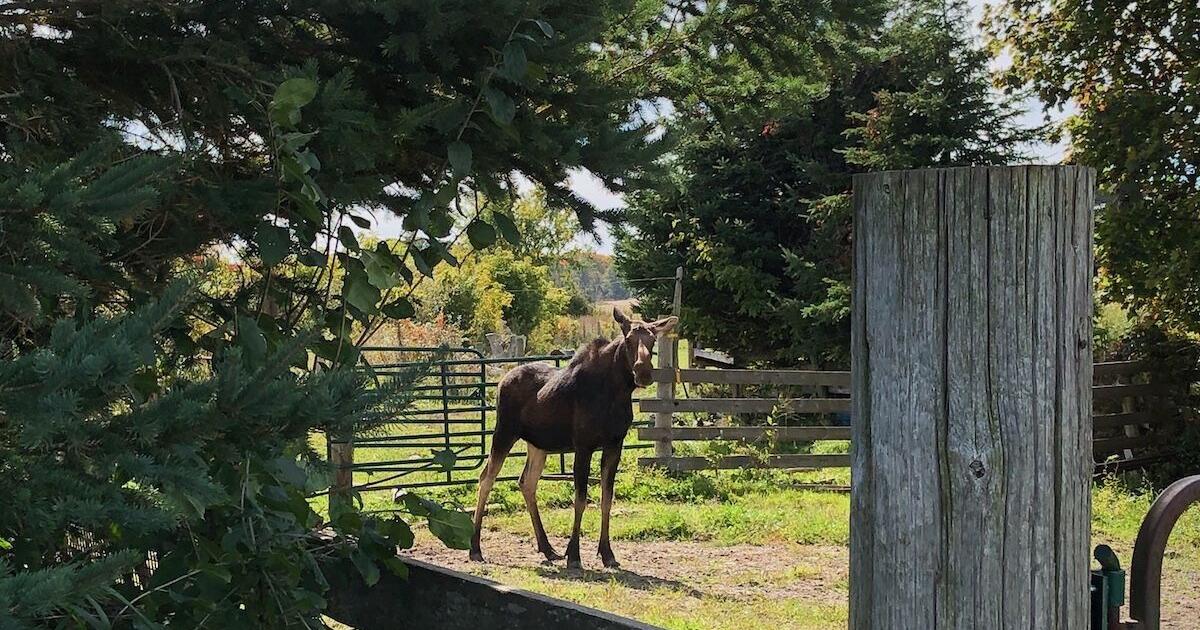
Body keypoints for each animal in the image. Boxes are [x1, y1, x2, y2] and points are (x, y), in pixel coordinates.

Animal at [469, 308, 678, 569]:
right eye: (628, 339)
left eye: (652, 341)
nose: (643, 372)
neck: (617, 392)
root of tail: (500, 381)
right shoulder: (583, 446)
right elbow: (580, 499)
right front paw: (575, 555)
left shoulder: (614, 445)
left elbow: (606, 499)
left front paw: (607, 553)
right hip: (504, 432)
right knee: (486, 478)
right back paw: (475, 548)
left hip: (537, 444)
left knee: (526, 482)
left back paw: (547, 548)